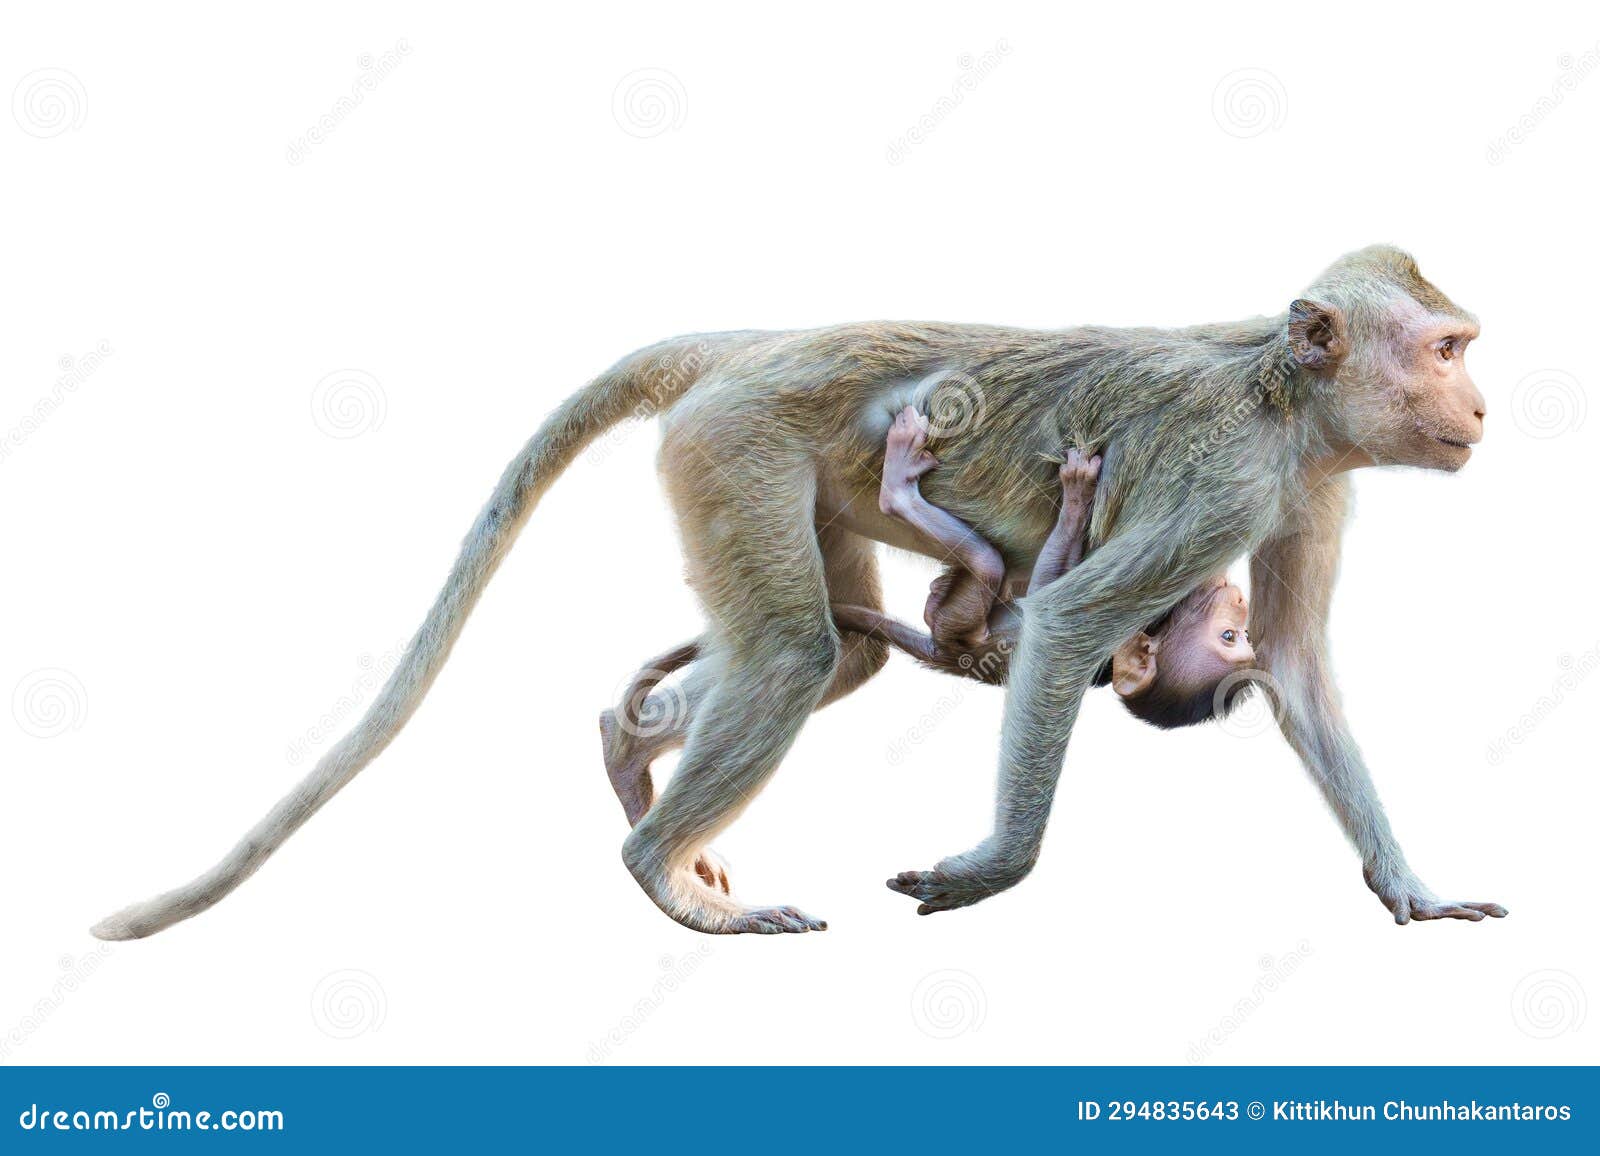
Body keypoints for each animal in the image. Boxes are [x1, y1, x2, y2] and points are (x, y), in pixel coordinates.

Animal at [598, 411, 1260, 860]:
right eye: (1235, 636)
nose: (1240, 600)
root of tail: (942, 650)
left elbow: (1047, 603)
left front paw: (1075, 501)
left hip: (955, 621)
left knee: (982, 569)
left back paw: (899, 484)